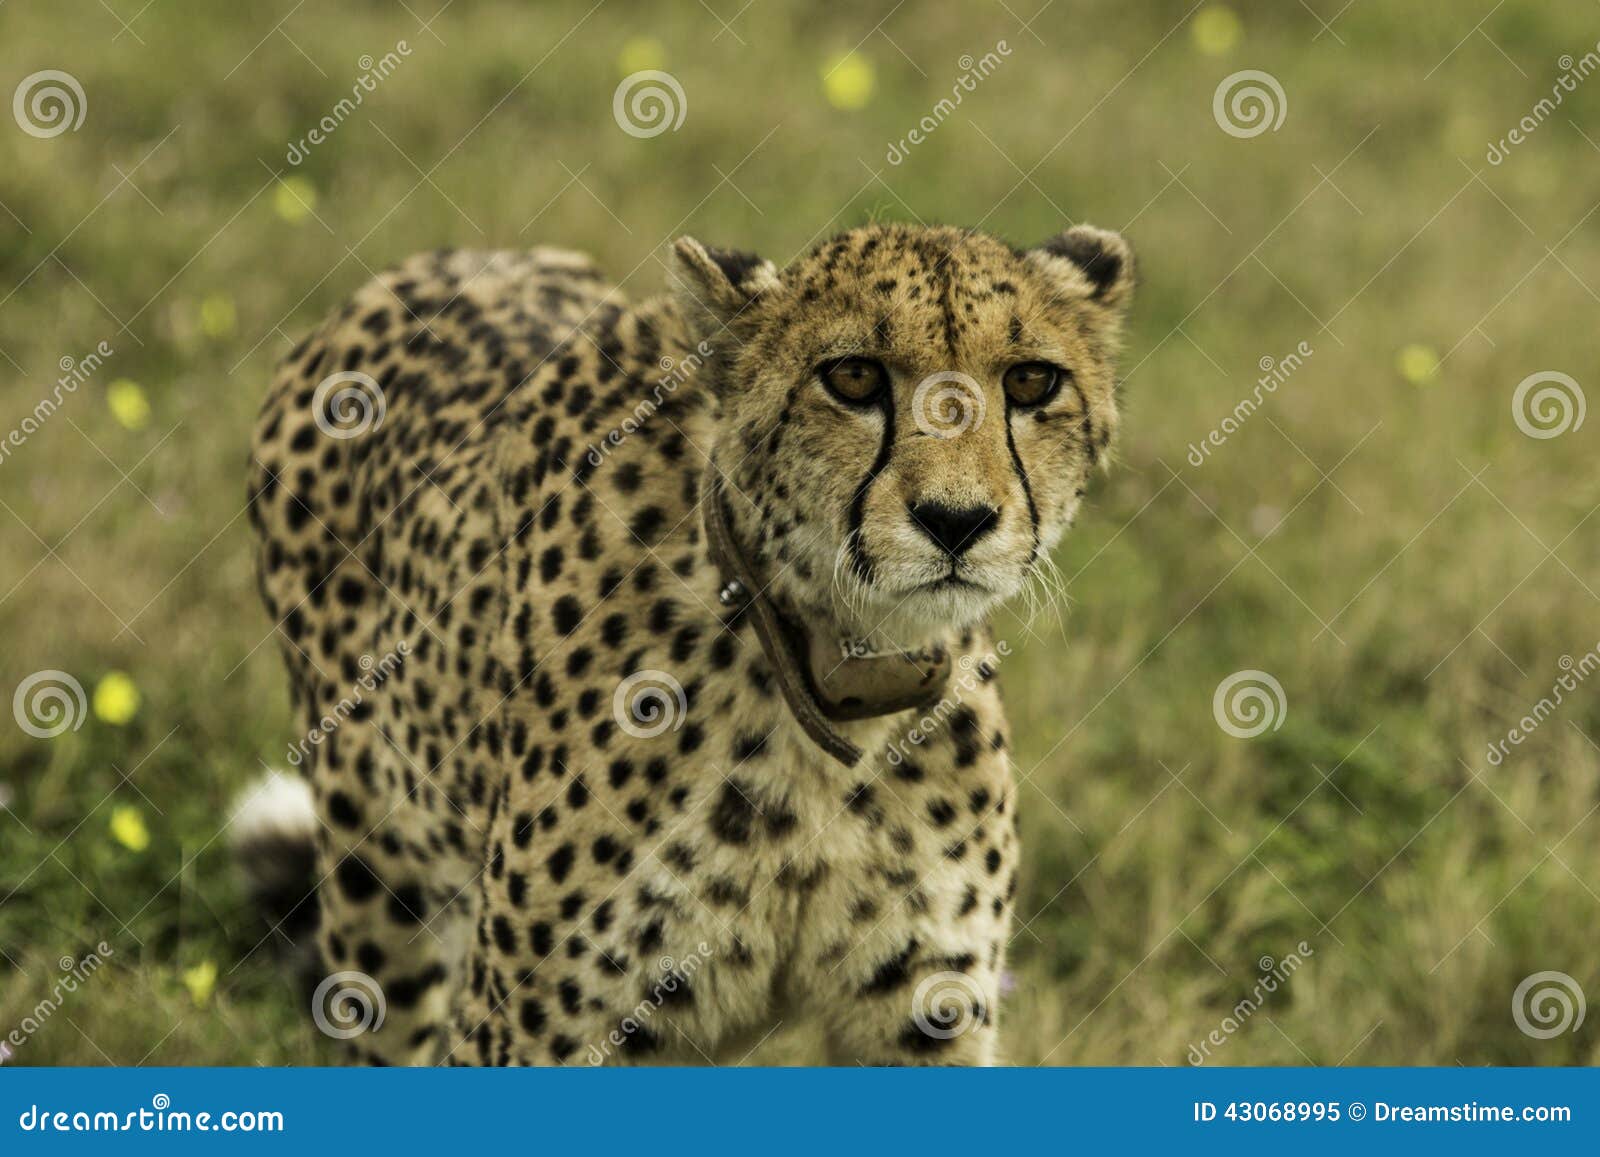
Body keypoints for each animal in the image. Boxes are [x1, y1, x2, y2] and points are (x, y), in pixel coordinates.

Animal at [239, 220, 1136, 1066]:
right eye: (852, 377)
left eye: (1031, 380)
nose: (957, 520)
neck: (837, 677)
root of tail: (437, 263)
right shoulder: (530, 1031)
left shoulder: (921, 1017)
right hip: (380, 886)